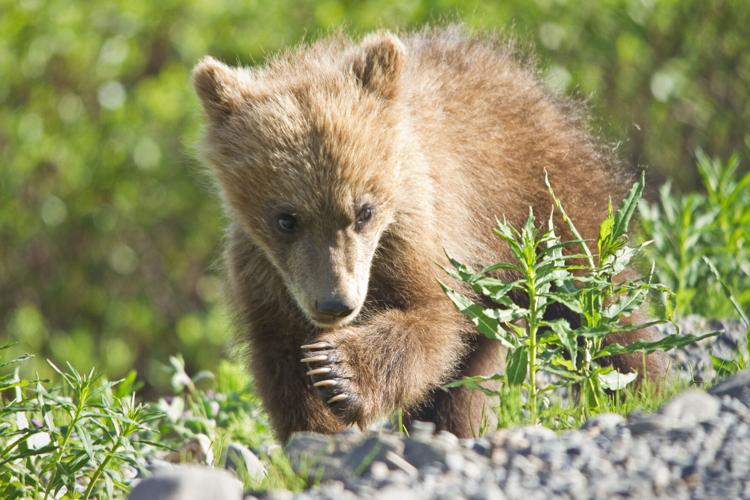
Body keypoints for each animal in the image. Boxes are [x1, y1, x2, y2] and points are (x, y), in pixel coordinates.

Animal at [192, 26, 666, 442]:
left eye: (363, 211)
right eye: (286, 218)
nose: (335, 302)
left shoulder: (422, 233)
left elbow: (432, 319)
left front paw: (339, 372)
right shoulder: (265, 275)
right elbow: (283, 362)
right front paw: (318, 426)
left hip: (543, 199)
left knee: (594, 295)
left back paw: (640, 386)